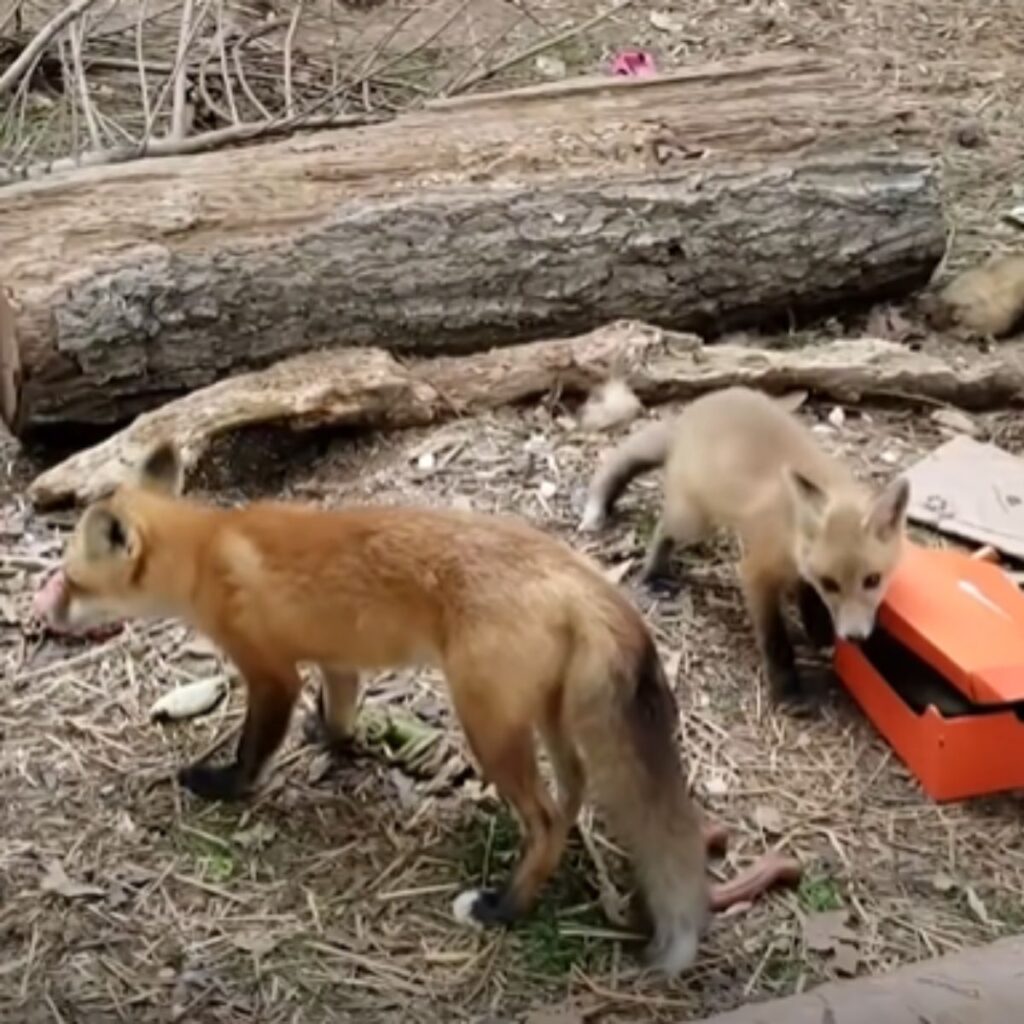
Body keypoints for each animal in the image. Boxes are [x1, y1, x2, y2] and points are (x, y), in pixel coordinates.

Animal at [34, 439, 709, 975]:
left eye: (73, 582)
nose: (46, 612)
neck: (209, 551)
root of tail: (581, 575)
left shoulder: (270, 672)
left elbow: (253, 749)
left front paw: (223, 786)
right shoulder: (335, 659)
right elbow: (340, 709)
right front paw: (332, 739)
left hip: (487, 724)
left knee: (543, 818)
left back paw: (503, 908)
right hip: (544, 719)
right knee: (571, 798)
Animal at [578, 386, 910, 710]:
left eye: (872, 580)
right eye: (832, 584)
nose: (854, 636)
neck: (793, 526)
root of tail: (688, 415)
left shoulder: (803, 566)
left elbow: (808, 595)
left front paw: (818, 630)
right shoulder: (757, 573)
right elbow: (776, 641)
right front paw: (788, 690)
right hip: (695, 521)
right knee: (664, 531)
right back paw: (654, 574)